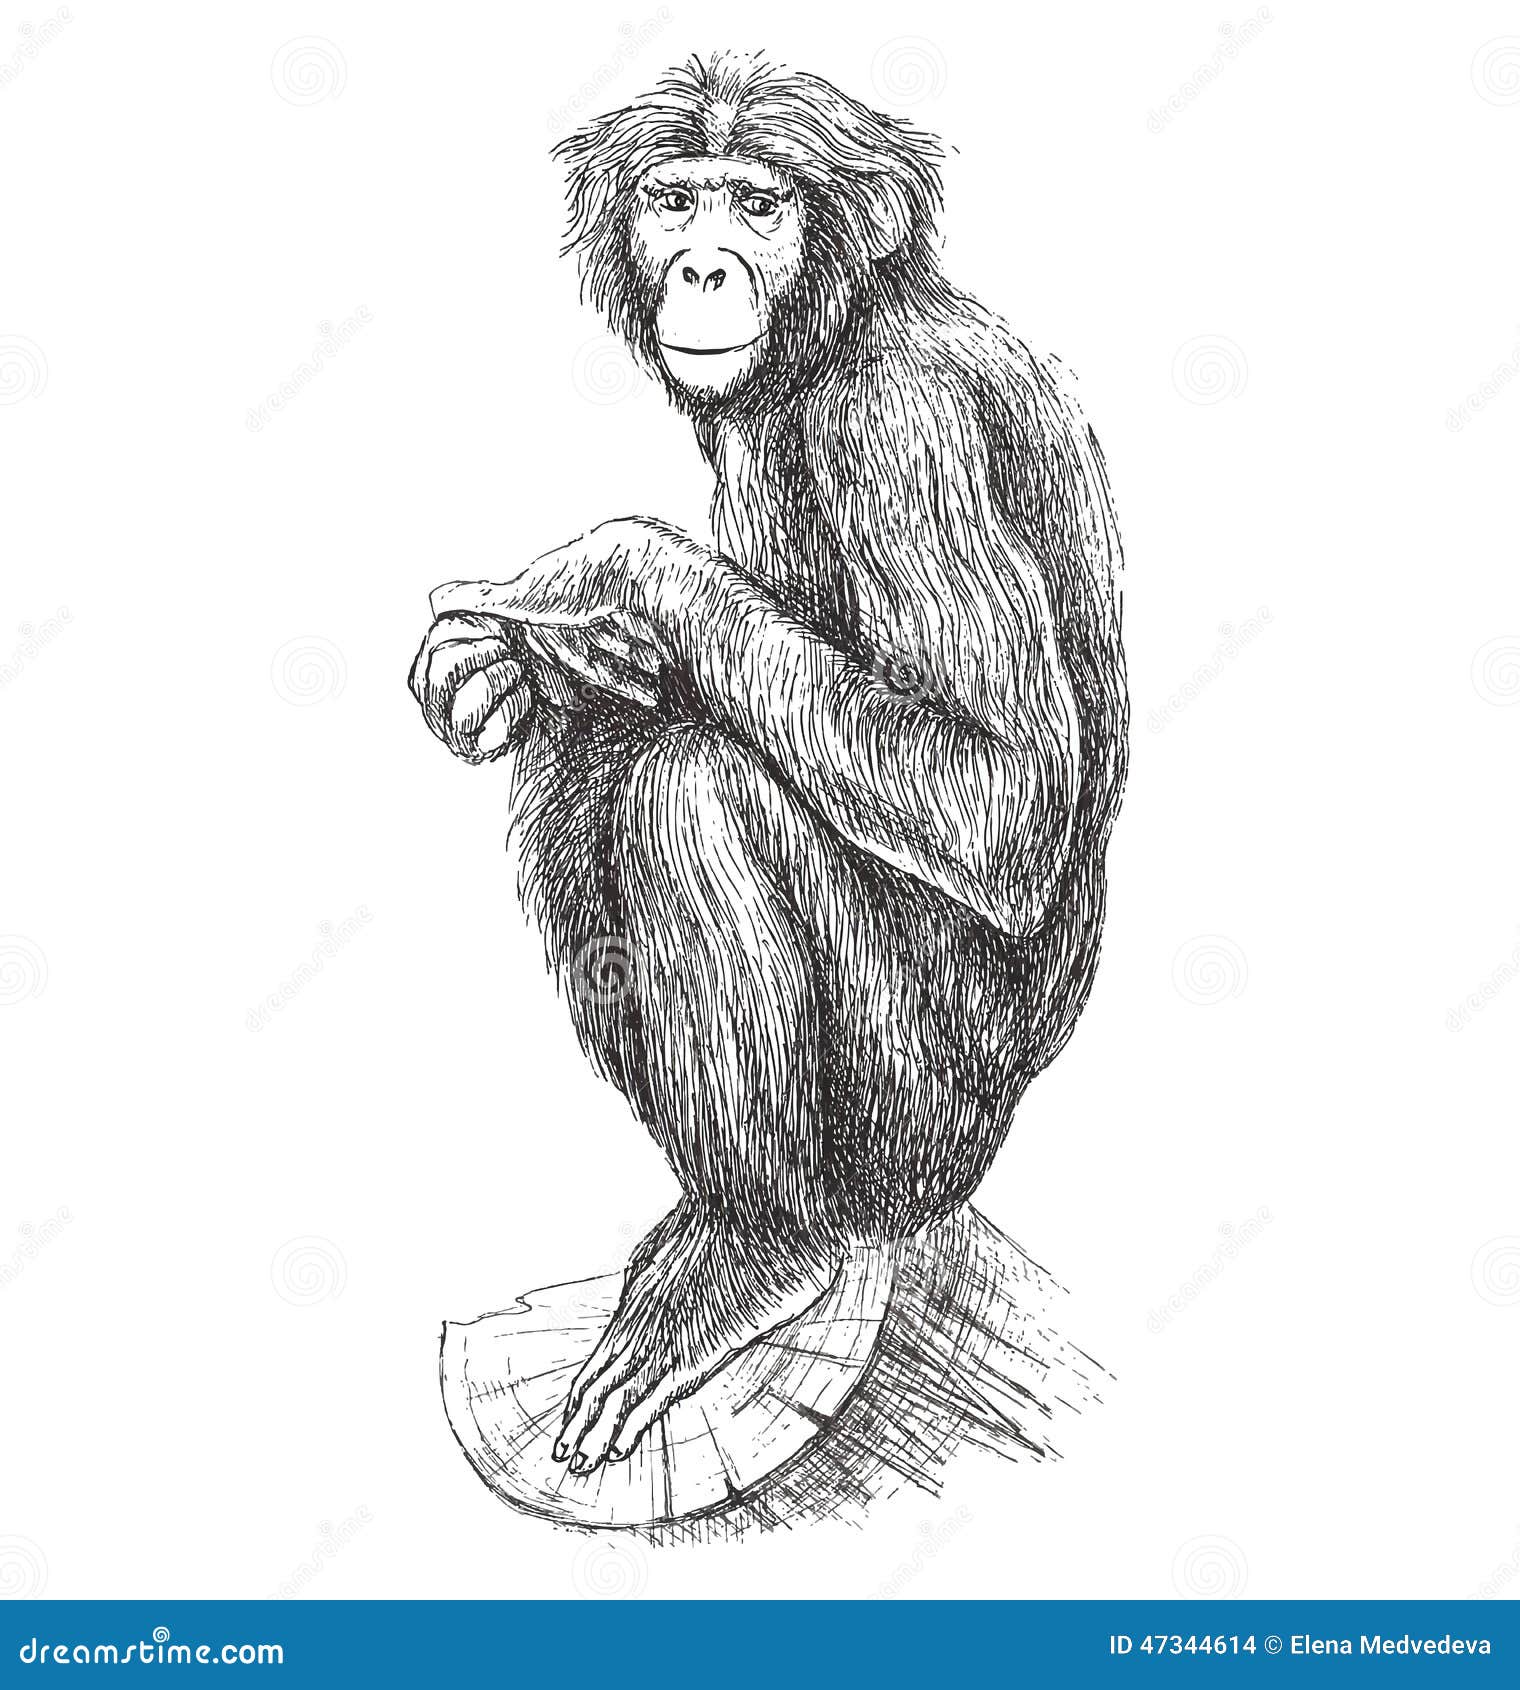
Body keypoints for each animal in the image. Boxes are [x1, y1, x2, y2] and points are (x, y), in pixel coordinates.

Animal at [410, 53, 1127, 1477]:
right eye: (675, 199)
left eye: (757, 205)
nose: (701, 266)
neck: (825, 340)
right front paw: (499, 658)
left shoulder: (901, 436)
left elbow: (996, 790)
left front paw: (603, 564)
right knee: (597, 760)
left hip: (916, 1126)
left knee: (690, 784)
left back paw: (756, 1253)